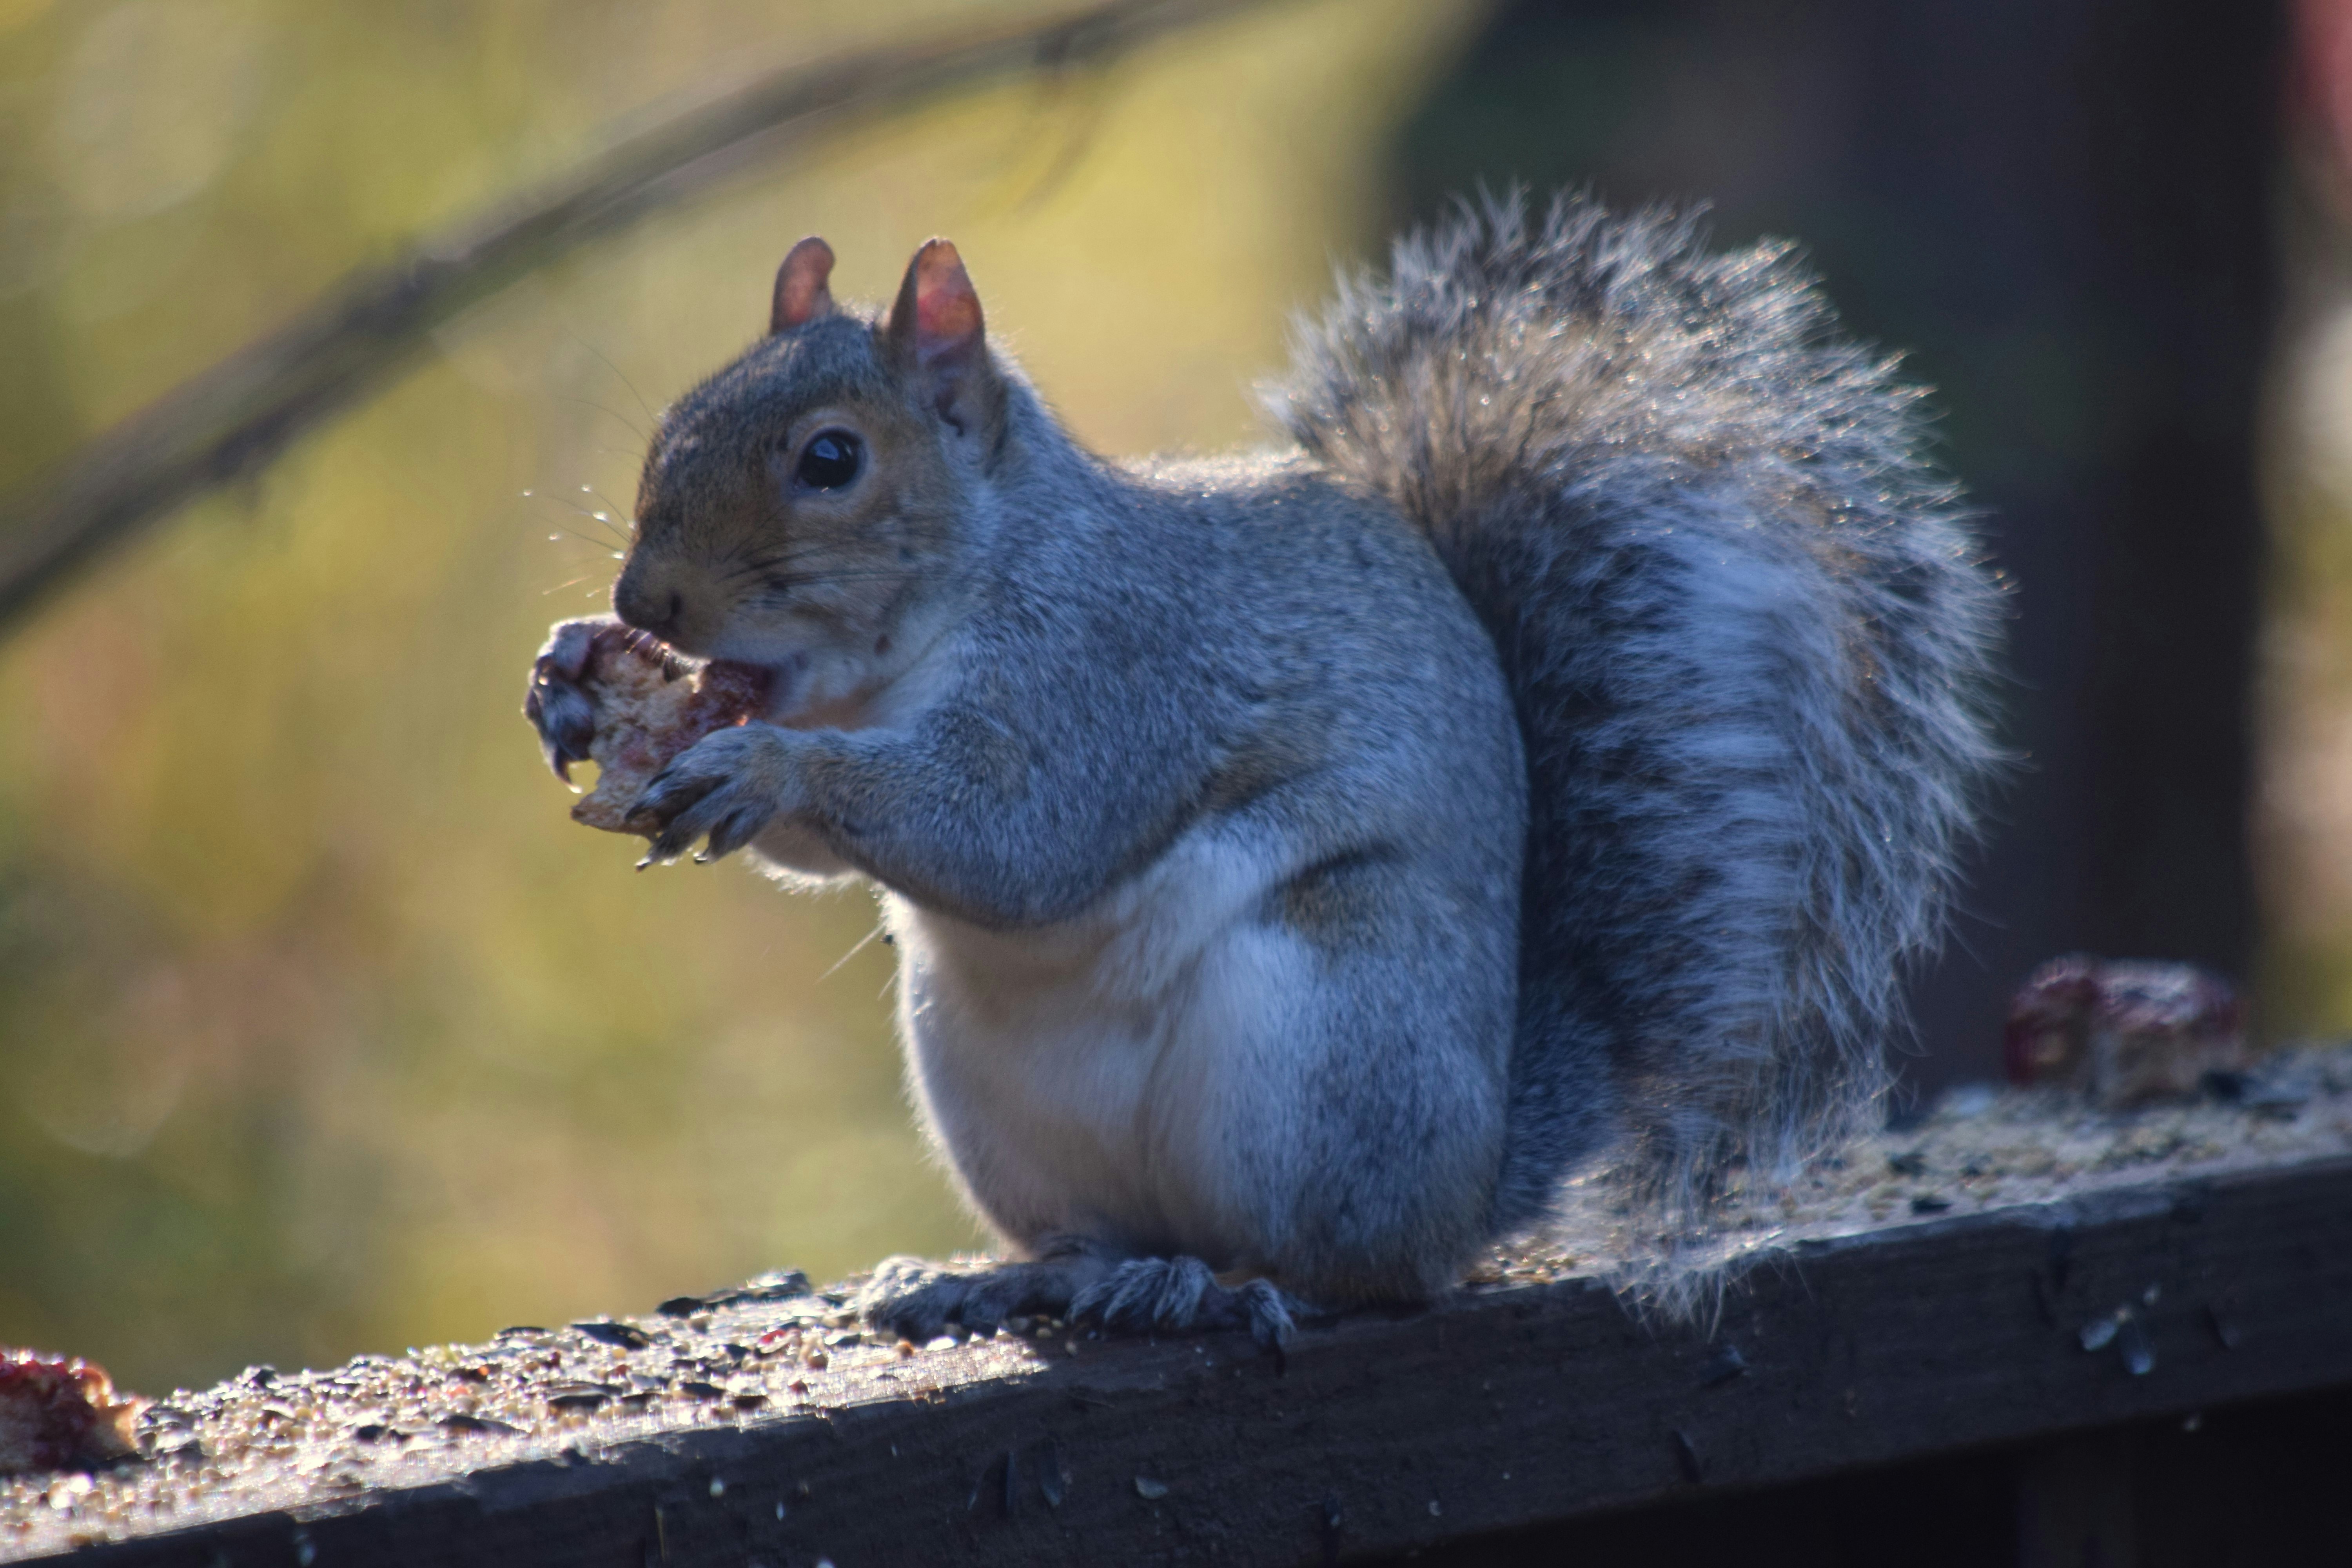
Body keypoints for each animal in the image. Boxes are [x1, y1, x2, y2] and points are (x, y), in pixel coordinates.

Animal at [524, 191, 2002, 1347]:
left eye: (832, 459)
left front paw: (770, 768)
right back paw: (1028, 1280)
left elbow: (1016, 834)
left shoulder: (1115, 673)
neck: (941, 617)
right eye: (678, 420)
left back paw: (1218, 1286)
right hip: (986, 1092)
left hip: (1321, 1037)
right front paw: (577, 678)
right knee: (1104, 1230)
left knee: (1343, 1268)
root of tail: (1473, 1186)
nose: (645, 597)